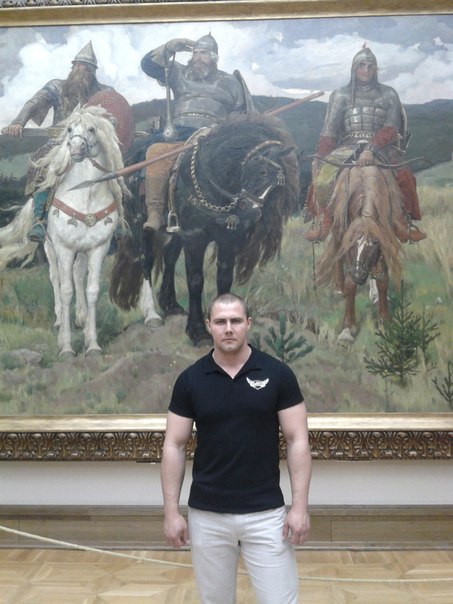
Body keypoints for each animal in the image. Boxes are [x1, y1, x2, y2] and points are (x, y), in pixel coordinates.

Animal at [110, 114, 300, 345]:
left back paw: (170, 304)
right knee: (146, 260)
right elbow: (195, 280)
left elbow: (224, 278)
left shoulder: (228, 239)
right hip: (141, 226)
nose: (252, 213)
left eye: (278, 181)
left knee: (170, 258)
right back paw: (151, 314)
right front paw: (198, 331)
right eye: (262, 171)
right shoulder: (195, 237)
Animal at [315, 164, 403, 343]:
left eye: (374, 243)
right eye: (352, 243)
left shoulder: (382, 241)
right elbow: (350, 286)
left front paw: (384, 319)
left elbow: (382, 281)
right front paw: (347, 330)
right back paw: (339, 289)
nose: (358, 274)